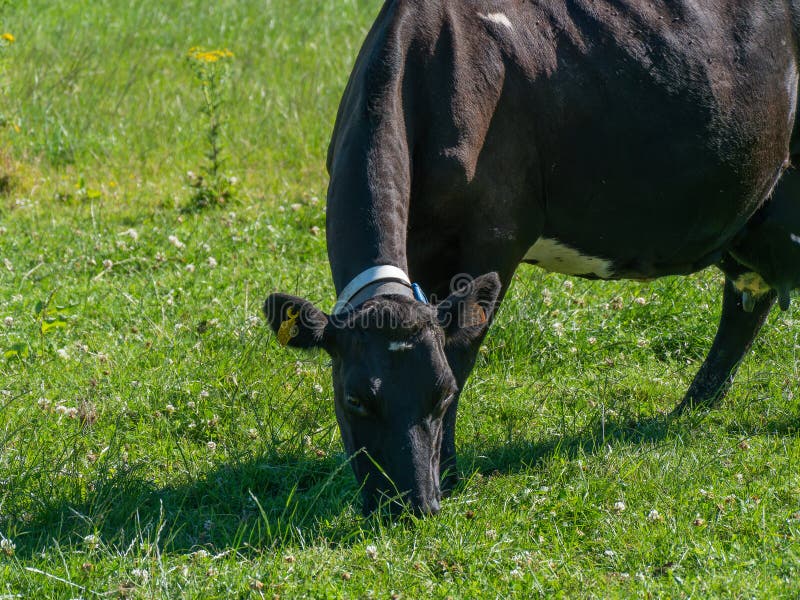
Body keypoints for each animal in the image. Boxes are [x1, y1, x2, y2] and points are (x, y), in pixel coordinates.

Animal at [264, 0, 800, 516]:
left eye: (442, 394)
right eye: (354, 399)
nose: (412, 505)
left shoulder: (494, 236)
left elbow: (462, 350)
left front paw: (450, 475)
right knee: (746, 300)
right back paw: (691, 409)